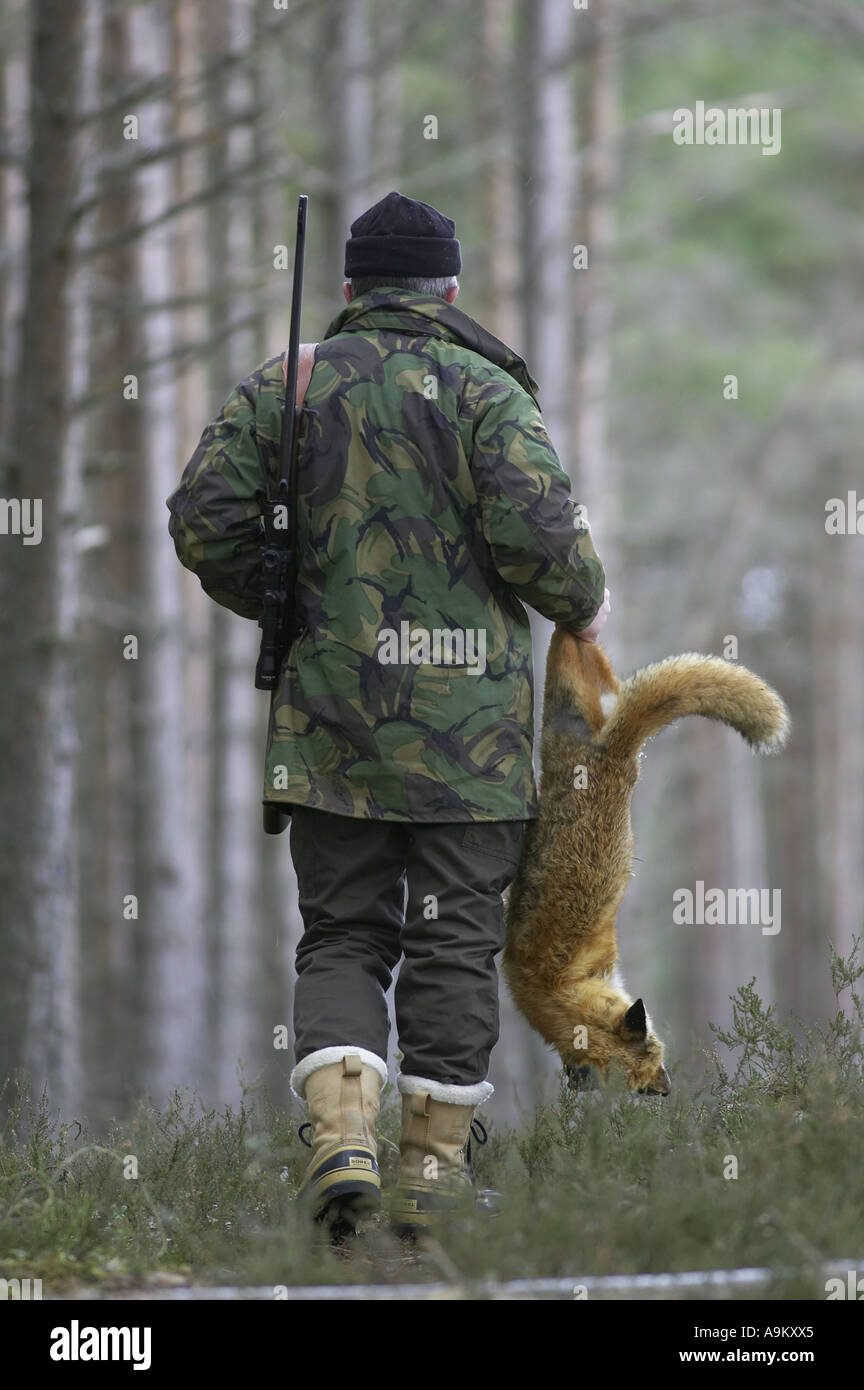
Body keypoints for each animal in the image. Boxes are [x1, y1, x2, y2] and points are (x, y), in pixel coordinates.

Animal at [502, 627, 790, 1096]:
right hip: (574, 695)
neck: (553, 986)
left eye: (654, 1051)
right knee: (592, 662)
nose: (669, 1089)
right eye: (640, 1089)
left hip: (563, 691)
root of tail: (613, 749)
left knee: (579, 649)